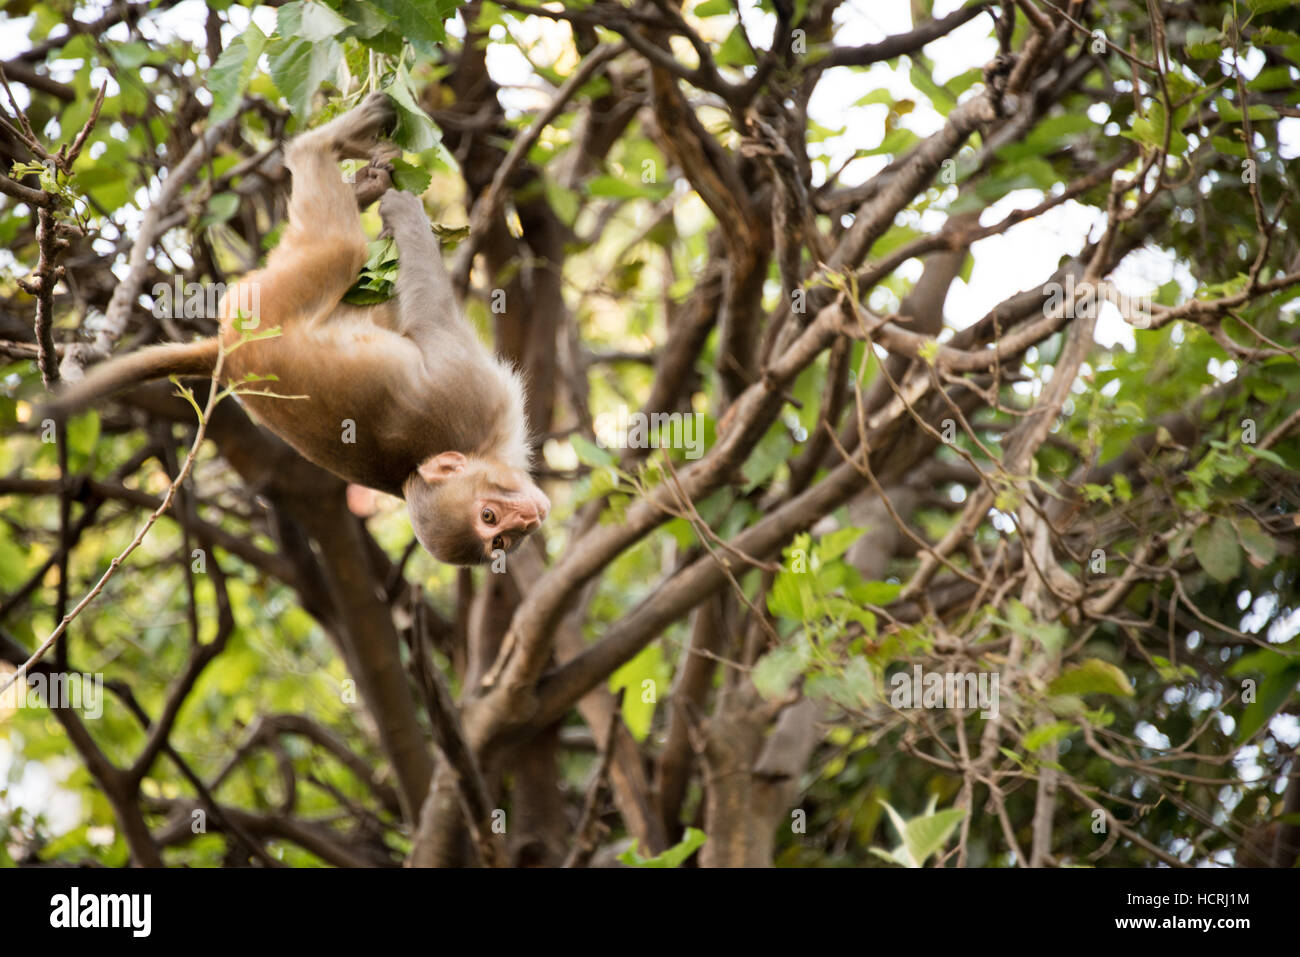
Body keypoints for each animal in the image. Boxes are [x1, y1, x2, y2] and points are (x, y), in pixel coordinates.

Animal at [47, 92, 550, 565]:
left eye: (504, 541)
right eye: (490, 520)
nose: (529, 519)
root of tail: (225, 353)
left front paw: (382, 200)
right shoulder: (469, 390)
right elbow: (431, 314)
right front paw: (402, 208)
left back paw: (361, 184)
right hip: (269, 301)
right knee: (340, 245)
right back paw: (323, 145)